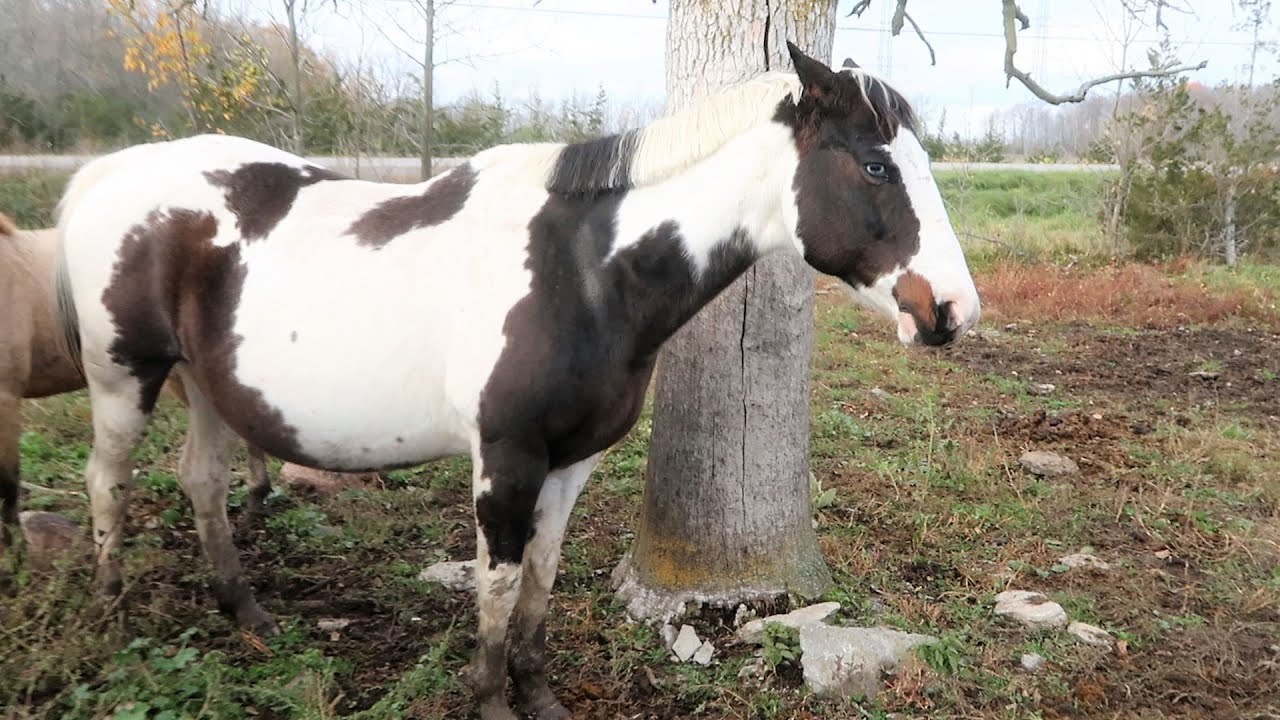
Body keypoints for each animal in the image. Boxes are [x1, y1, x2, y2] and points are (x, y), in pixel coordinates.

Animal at [52, 43, 979, 720]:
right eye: (874, 167)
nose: (952, 310)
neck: (584, 271)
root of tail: (111, 172)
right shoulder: (506, 457)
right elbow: (498, 585)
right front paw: (493, 699)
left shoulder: (571, 463)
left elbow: (541, 575)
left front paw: (539, 693)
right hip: (124, 379)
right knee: (107, 482)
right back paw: (109, 612)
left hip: (207, 386)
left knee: (201, 483)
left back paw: (243, 610)